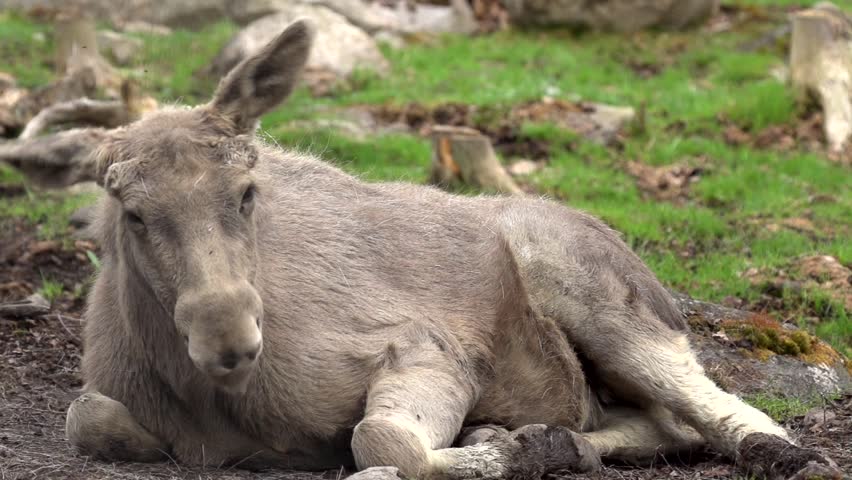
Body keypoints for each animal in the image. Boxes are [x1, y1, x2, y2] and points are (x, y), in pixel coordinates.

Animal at [62, 19, 838, 480]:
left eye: (248, 192)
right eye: (132, 213)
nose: (230, 338)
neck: (217, 396)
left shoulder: (429, 347)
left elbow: (383, 442)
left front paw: (493, 451)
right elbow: (87, 417)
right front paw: (514, 443)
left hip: (604, 301)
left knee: (720, 409)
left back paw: (779, 455)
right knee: (655, 425)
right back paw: (555, 441)